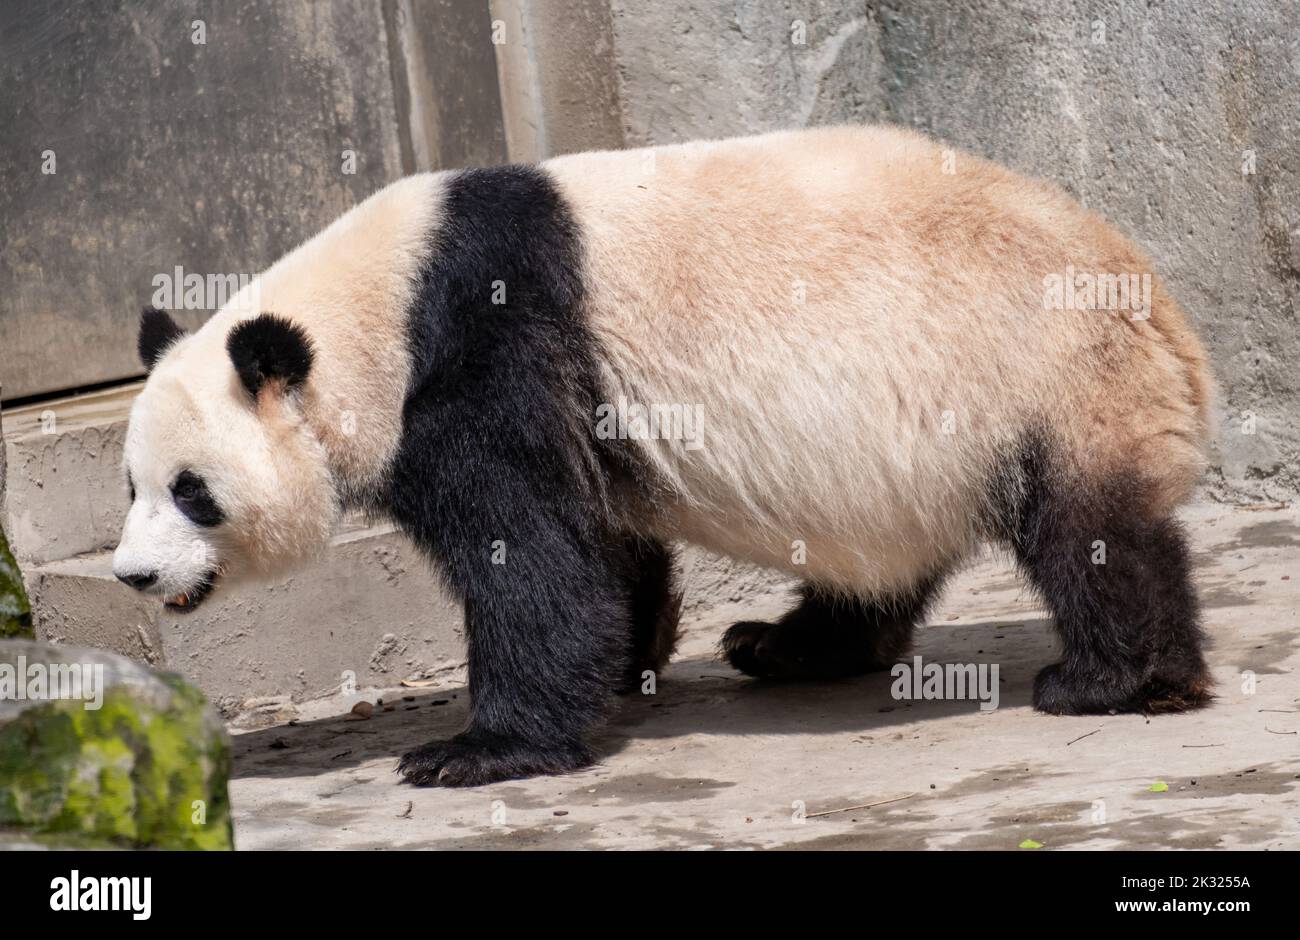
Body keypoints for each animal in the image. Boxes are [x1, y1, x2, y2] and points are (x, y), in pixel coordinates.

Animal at [113, 124, 1215, 787]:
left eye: (192, 491)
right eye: (131, 485)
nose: (132, 574)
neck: (376, 309)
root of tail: (1158, 301)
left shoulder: (485, 358)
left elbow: (532, 560)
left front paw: (472, 750)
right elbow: (599, 549)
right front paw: (618, 673)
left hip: (1040, 373)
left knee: (1095, 534)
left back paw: (1112, 680)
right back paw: (786, 645)